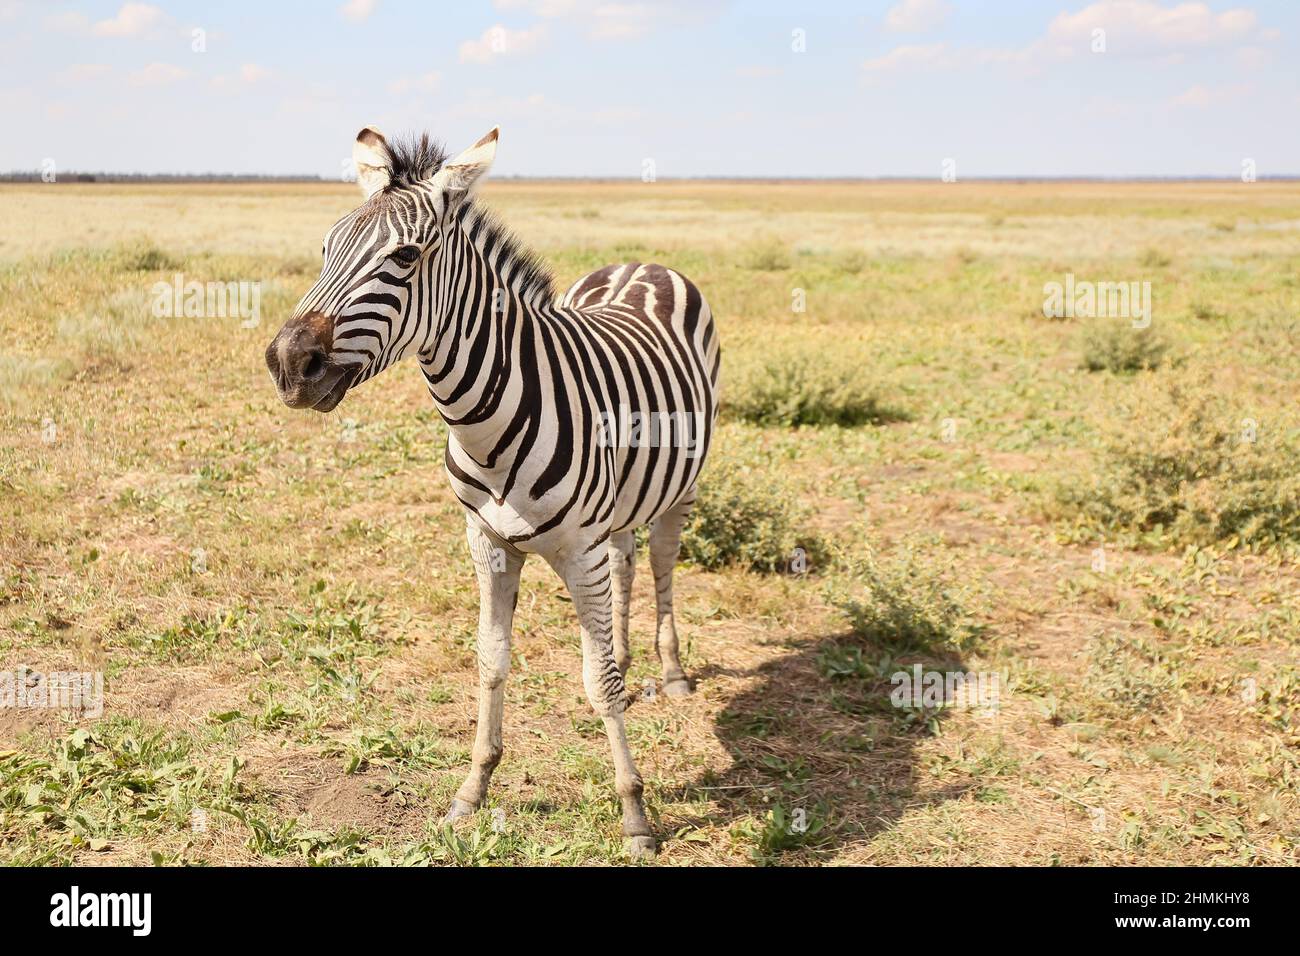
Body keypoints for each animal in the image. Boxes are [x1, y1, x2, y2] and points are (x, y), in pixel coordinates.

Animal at [265, 126, 720, 858]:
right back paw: (626, 653)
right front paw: (472, 791)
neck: (488, 424)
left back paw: (671, 672)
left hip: (681, 486)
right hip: (623, 499)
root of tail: (641, 261)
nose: (286, 363)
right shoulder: (486, 541)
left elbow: (597, 683)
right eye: (329, 248)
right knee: (626, 564)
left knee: (659, 564)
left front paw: (634, 815)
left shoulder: (578, 551)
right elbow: (491, 662)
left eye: (405, 257)